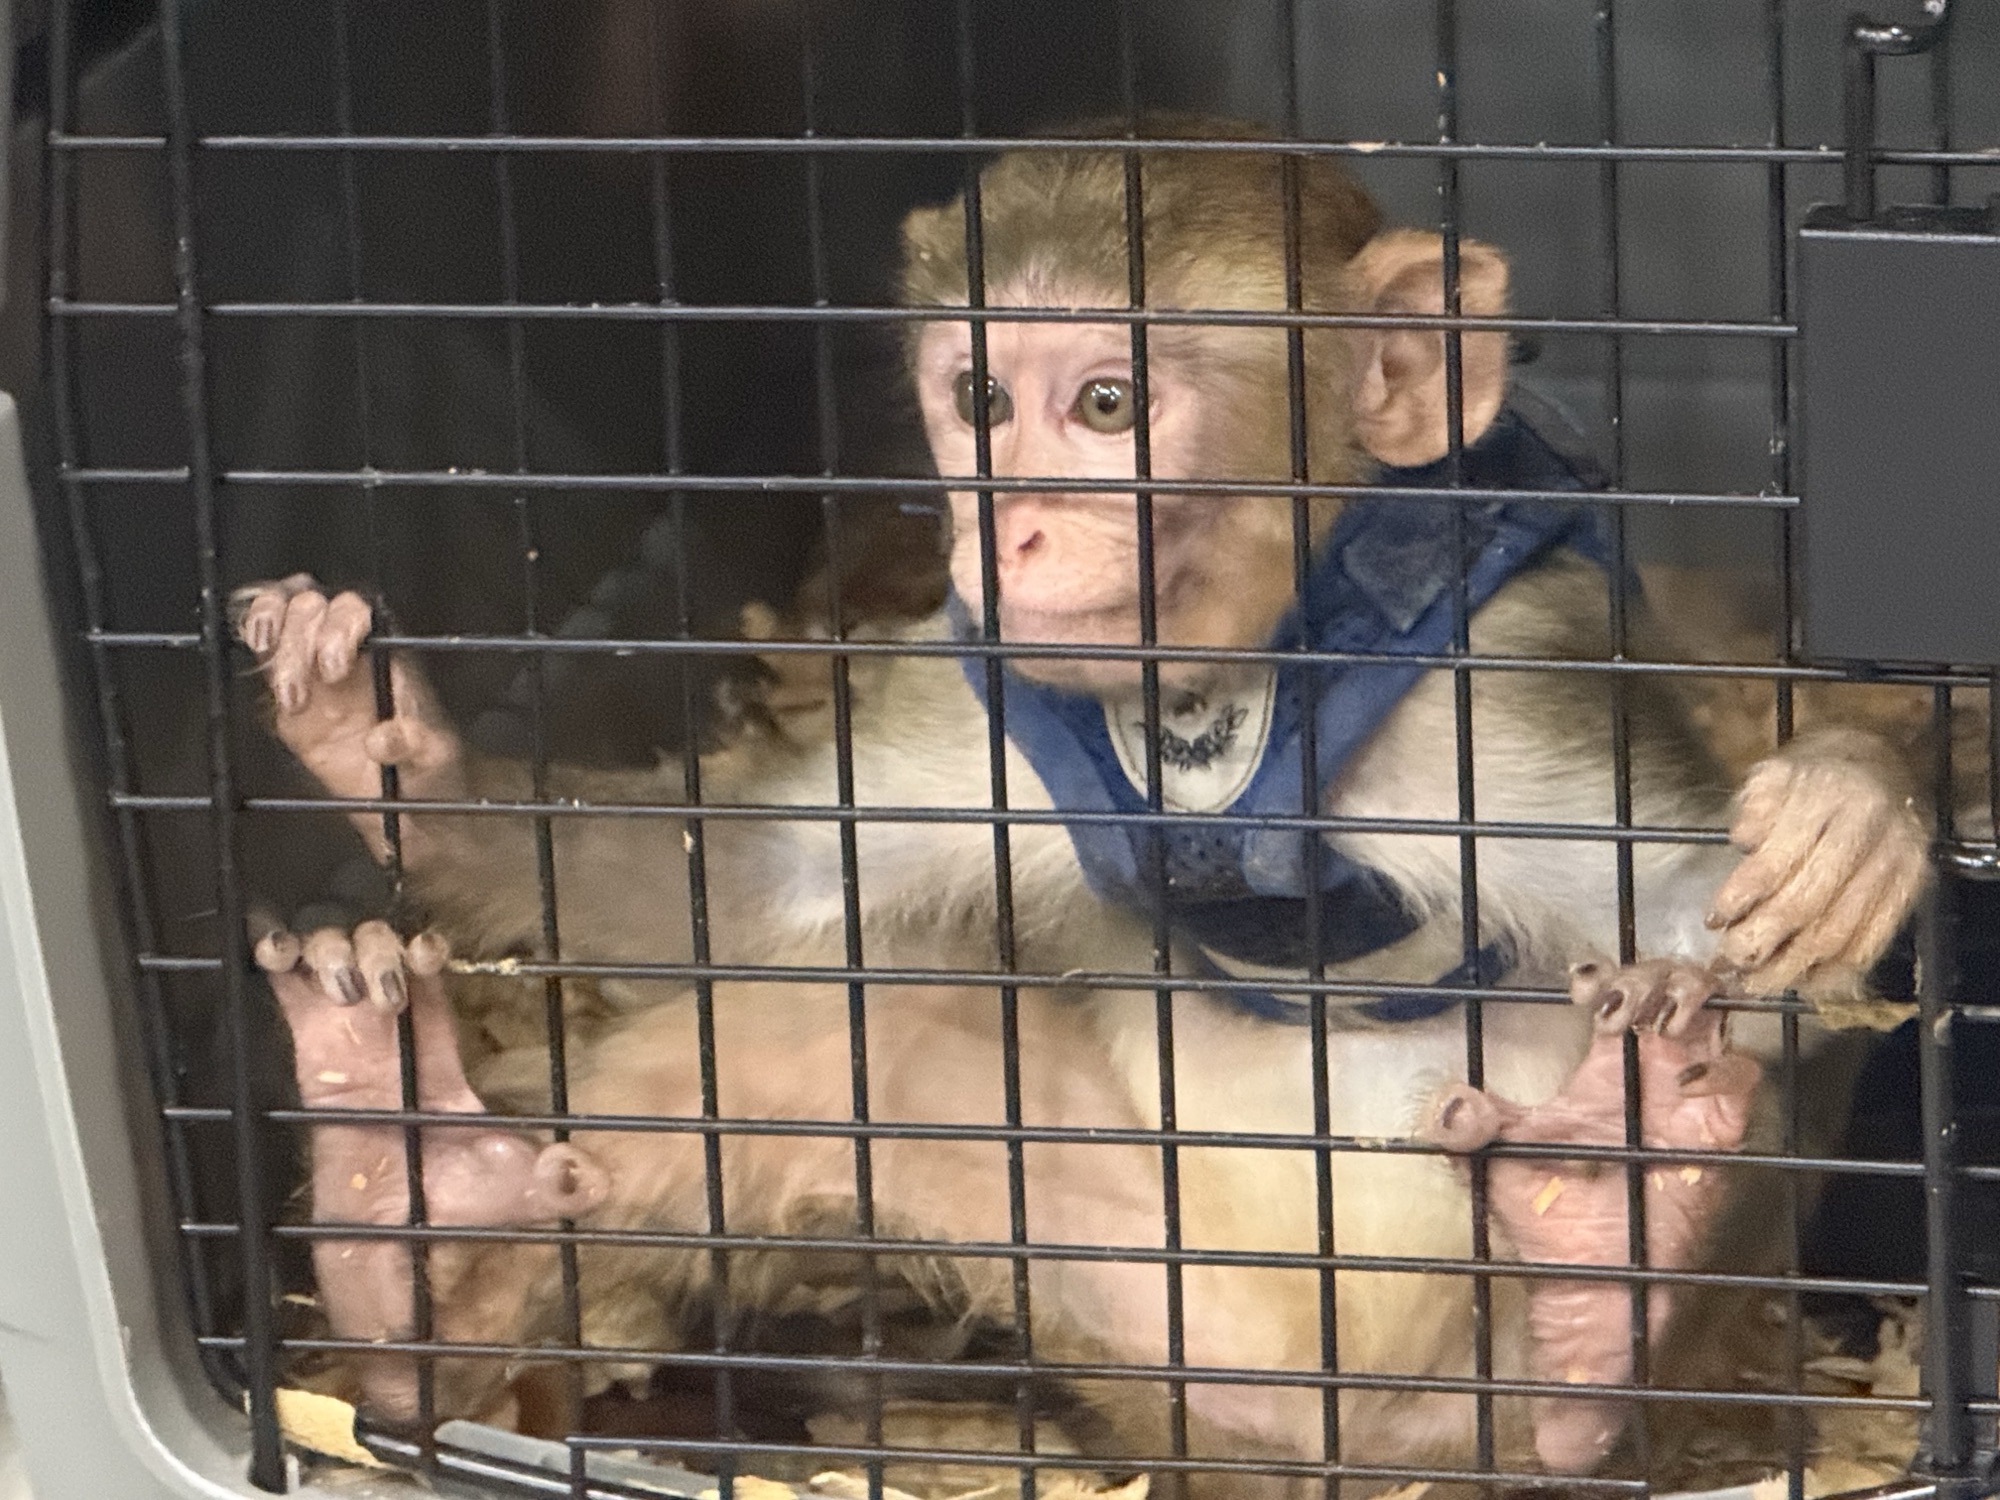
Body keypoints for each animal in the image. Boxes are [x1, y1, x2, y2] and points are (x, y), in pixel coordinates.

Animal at [231, 121, 1934, 1490]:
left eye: (1109, 404)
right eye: (981, 398)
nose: (1014, 526)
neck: (1215, 702)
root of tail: (1346, 1435)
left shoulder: (1489, 701)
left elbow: (1731, 950)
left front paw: (1856, 812)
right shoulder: (987, 698)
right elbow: (749, 893)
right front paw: (385, 740)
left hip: (1501, 1380)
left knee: (1686, 1094)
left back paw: (1599, 1306)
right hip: (1133, 1297)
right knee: (835, 1028)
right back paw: (408, 1244)